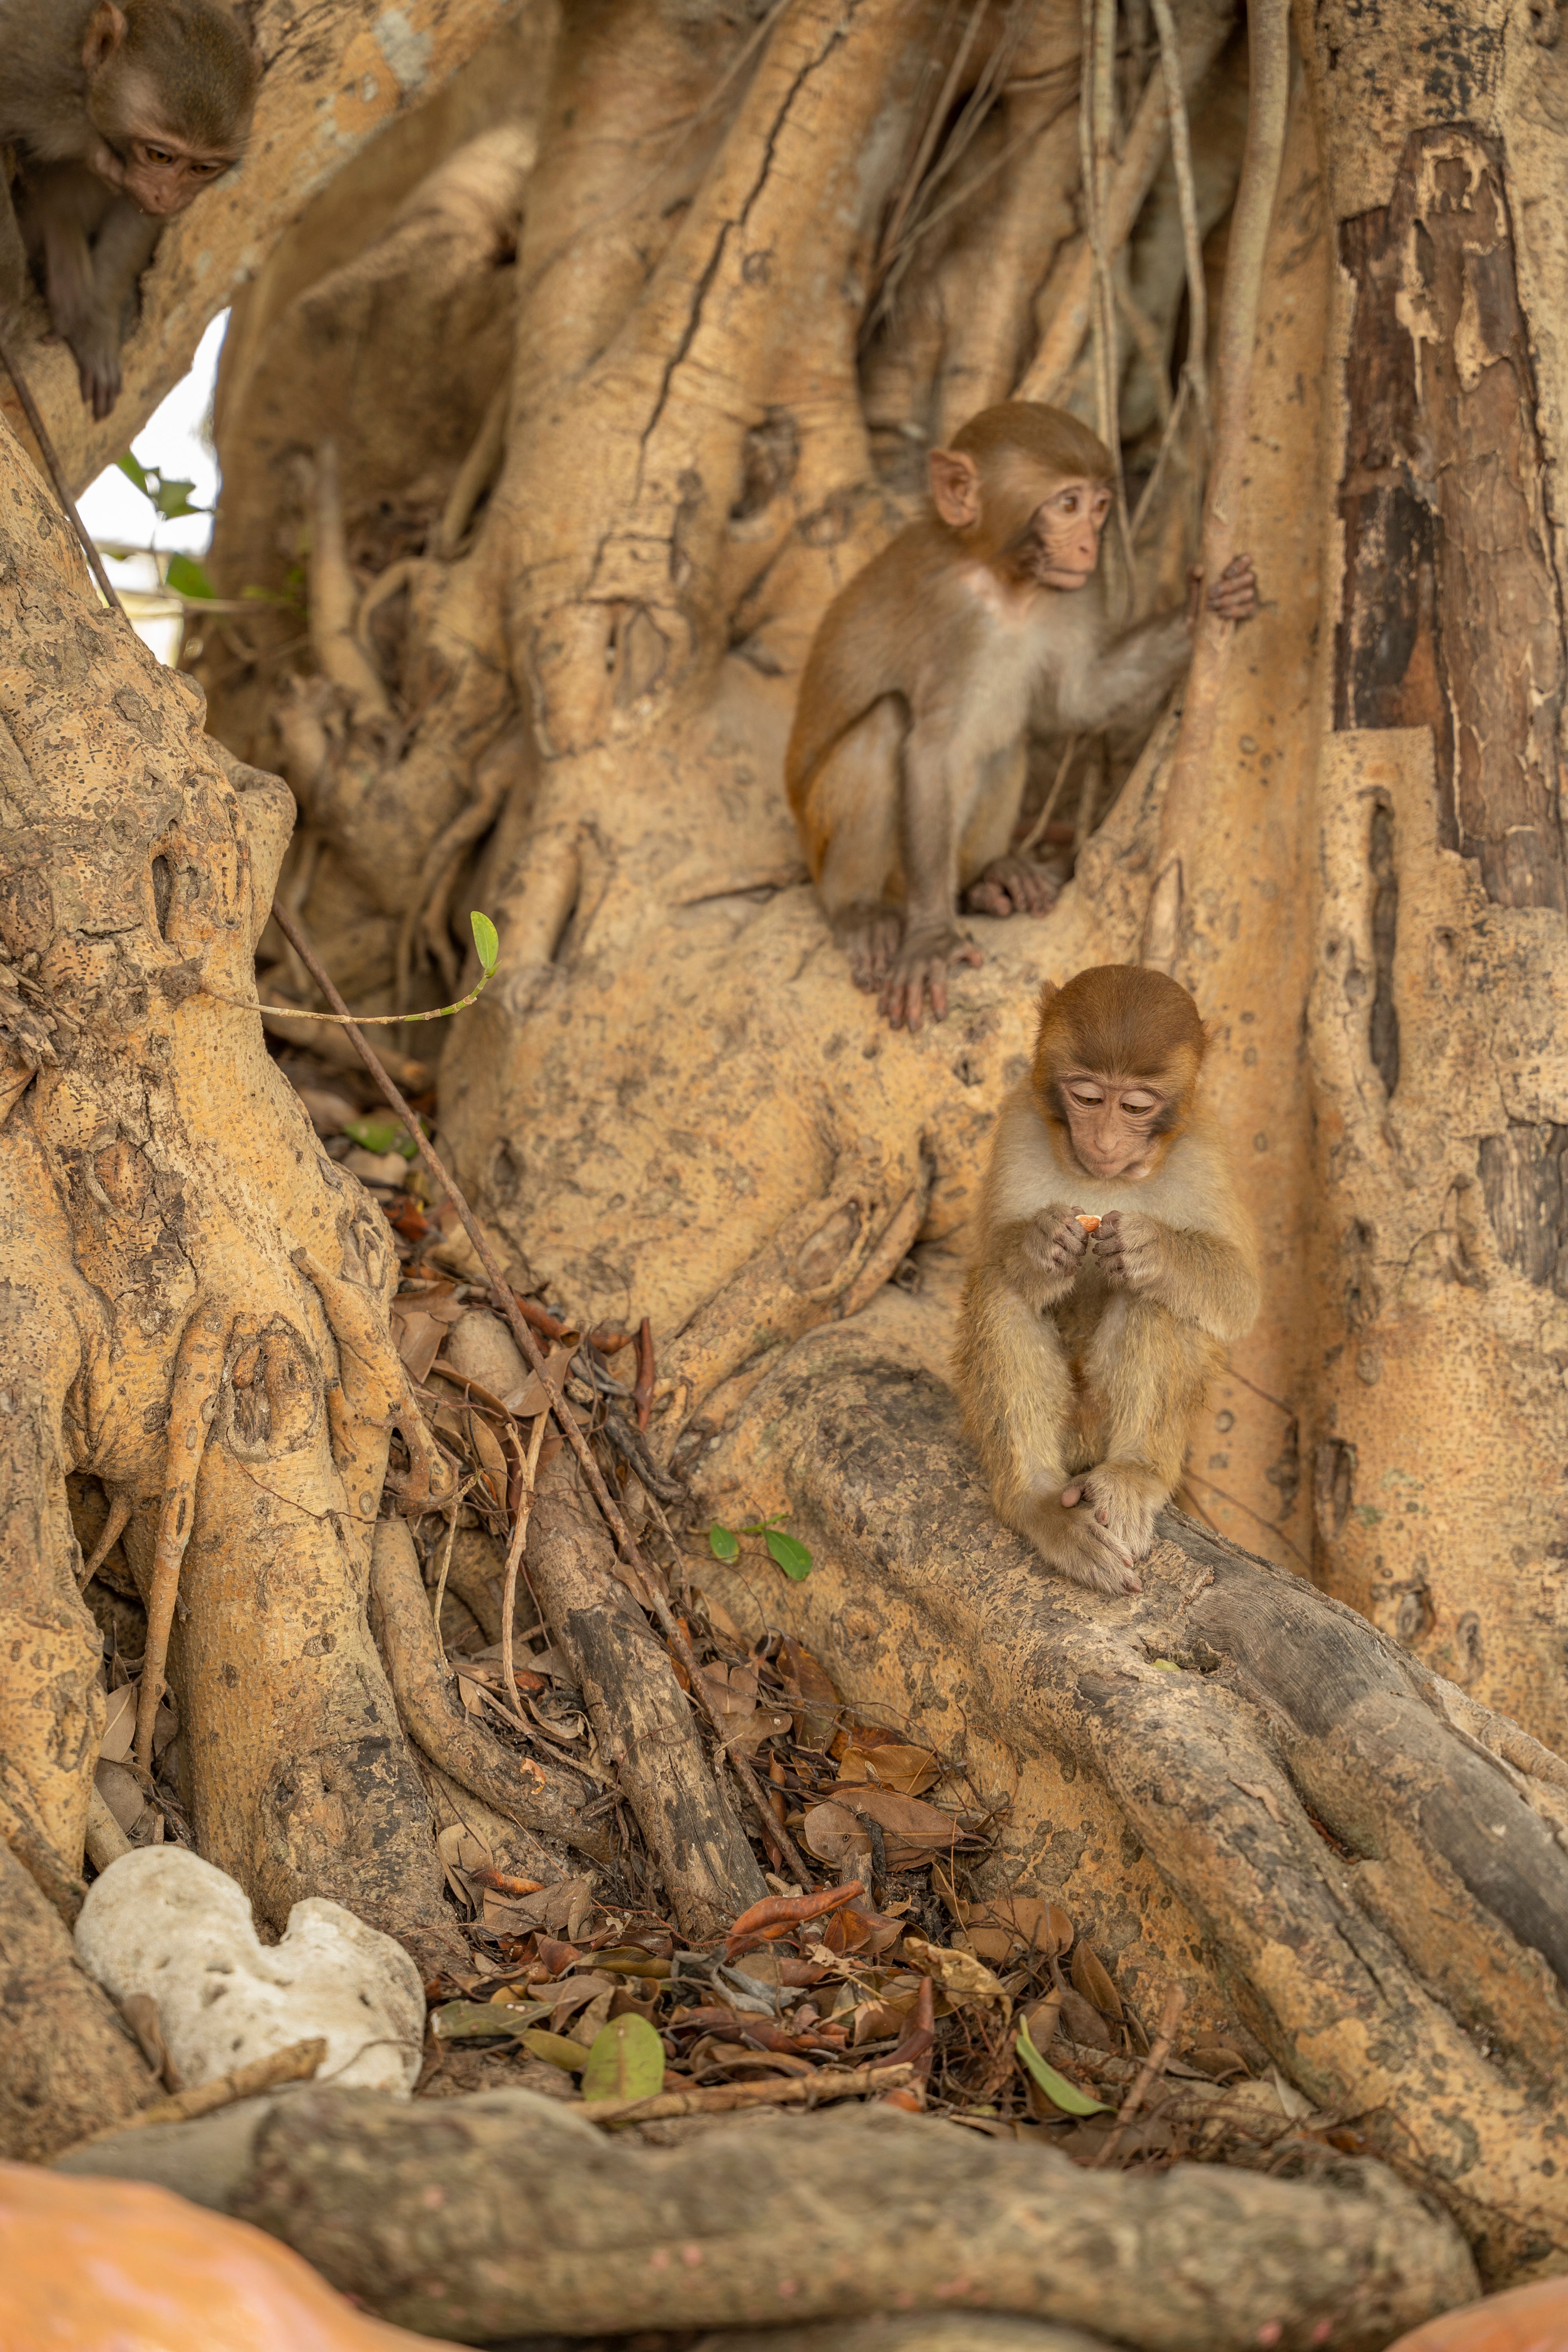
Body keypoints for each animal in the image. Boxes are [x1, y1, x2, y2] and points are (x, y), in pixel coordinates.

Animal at [0, 0, 259, 417]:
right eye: (160, 156)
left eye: (202, 169)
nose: (166, 196)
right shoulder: (31, 68)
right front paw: (5, 300)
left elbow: (135, 212)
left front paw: (96, 324)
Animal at [785, 402, 1257, 1034]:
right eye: (1067, 505)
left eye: (1100, 505)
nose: (1088, 549)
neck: (1007, 582)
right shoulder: (950, 611)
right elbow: (930, 750)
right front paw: (931, 938)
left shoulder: (1071, 594)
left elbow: (1078, 699)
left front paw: (1199, 611)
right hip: (832, 846)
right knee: (888, 722)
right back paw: (860, 910)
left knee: (1006, 743)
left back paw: (990, 880)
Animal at [953, 964, 1259, 1597]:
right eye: (1088, 1097)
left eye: (1136, 1106)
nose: (1105, 1141)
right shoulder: (1019, 1122)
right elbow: (991, 1255)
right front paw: (1040, 1245)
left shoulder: (1206, 1150)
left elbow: (1241, 1296)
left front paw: (1154, 1250)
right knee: (1001, 1292)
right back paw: (1038, 1501)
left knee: (1161, 1300)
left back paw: (1133, 1474)